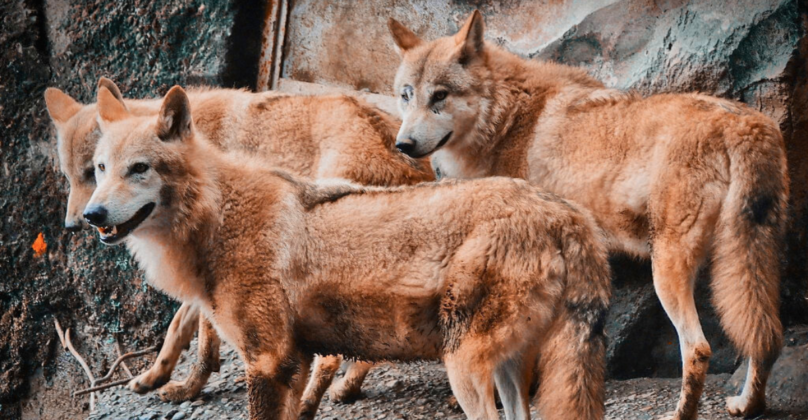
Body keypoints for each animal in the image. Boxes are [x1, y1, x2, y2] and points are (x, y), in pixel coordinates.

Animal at [44, 79, 433, 414]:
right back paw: (346, 388)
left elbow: (199, 336)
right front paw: (157, 376)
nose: (83, 219)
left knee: (332, 356)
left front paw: (190, 384)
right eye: (94, 170)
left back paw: (312, 399)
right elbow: (180, 326)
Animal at [84, 84, 611, 420]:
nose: (92, 215)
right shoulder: (291, 365)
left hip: (464, 371)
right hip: (507, 373)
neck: (219, 218)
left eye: (139, 168)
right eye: (100, 168)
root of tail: (565, 214)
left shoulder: (269, 363)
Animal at [388, 10, 789, 420]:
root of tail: (740, 122)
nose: (403, 144)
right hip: (749, 257)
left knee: (699, 348)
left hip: (667, 270)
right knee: (767, 335)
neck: (506, 119)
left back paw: (681, 413)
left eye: (440, 95)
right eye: (406, 94)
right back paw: (749, 403)